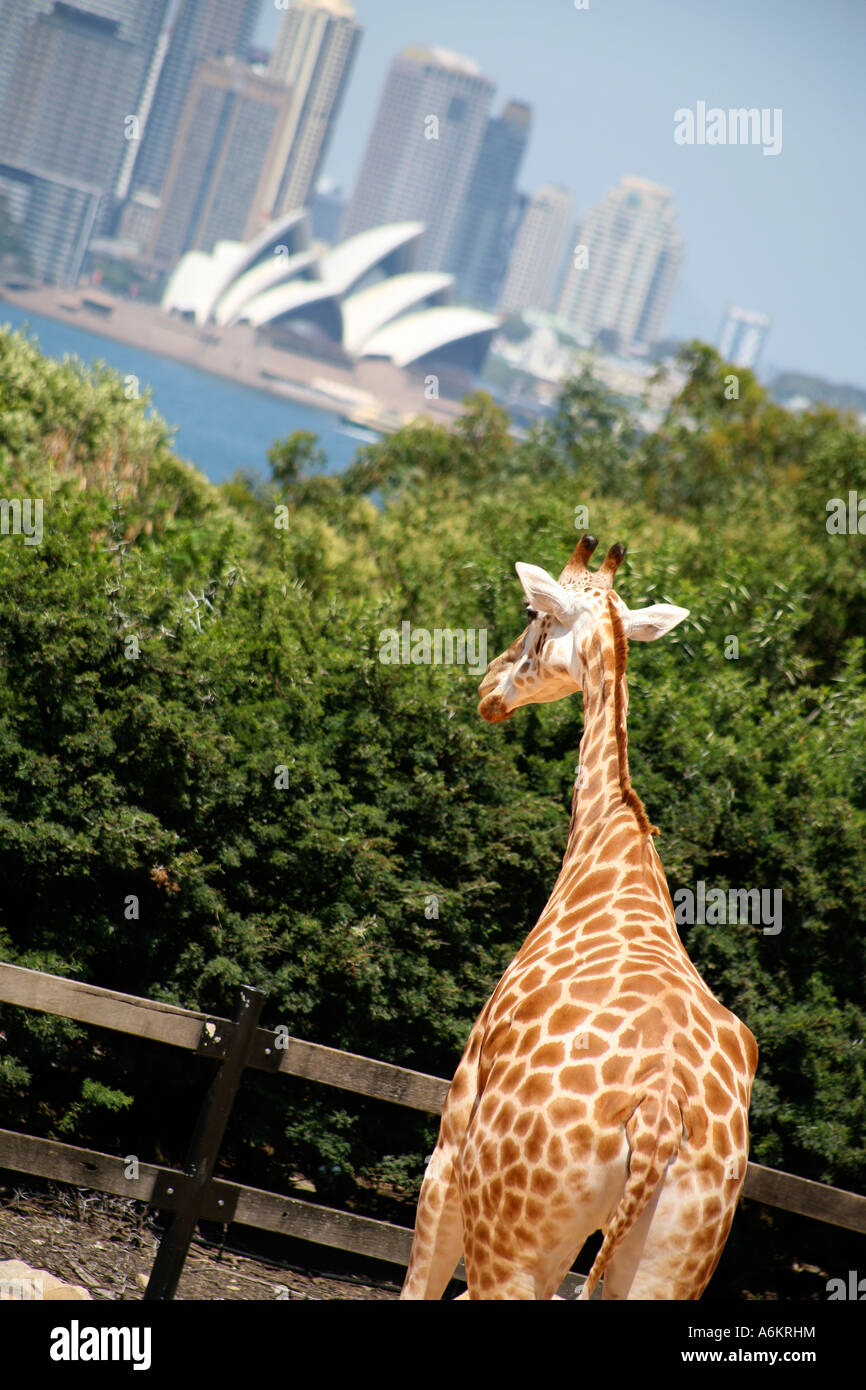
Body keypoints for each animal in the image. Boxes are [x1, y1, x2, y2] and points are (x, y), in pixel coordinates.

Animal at [401, 534, 758, 1301]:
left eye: (532, 615)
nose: (489, 688)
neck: (610, 848)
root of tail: (658, 1114)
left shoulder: (453, 1121)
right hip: (674, 1259)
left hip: (511, 1237)